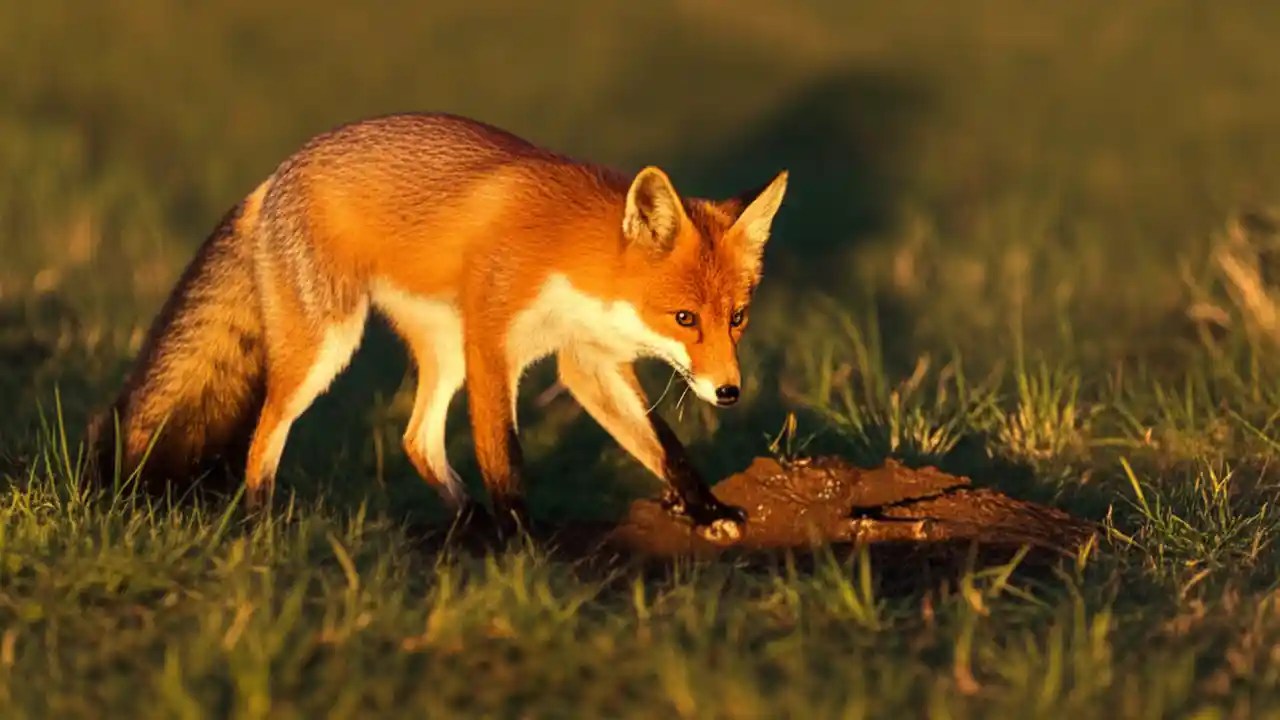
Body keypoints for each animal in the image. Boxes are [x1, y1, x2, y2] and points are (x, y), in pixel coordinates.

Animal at [88, 112, 788, 542]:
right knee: (263, 439)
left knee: (416, 441)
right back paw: (262, 527)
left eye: (737, 318)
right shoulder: (493, 342)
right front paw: (527, 546)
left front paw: (706, 509)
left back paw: (470, 524)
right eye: (684, 318)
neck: (575, 265)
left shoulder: (584, 361)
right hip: (329, 345)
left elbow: (664, 446)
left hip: (441, 350)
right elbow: (505, 456)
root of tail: (272, 177)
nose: (730, 392)